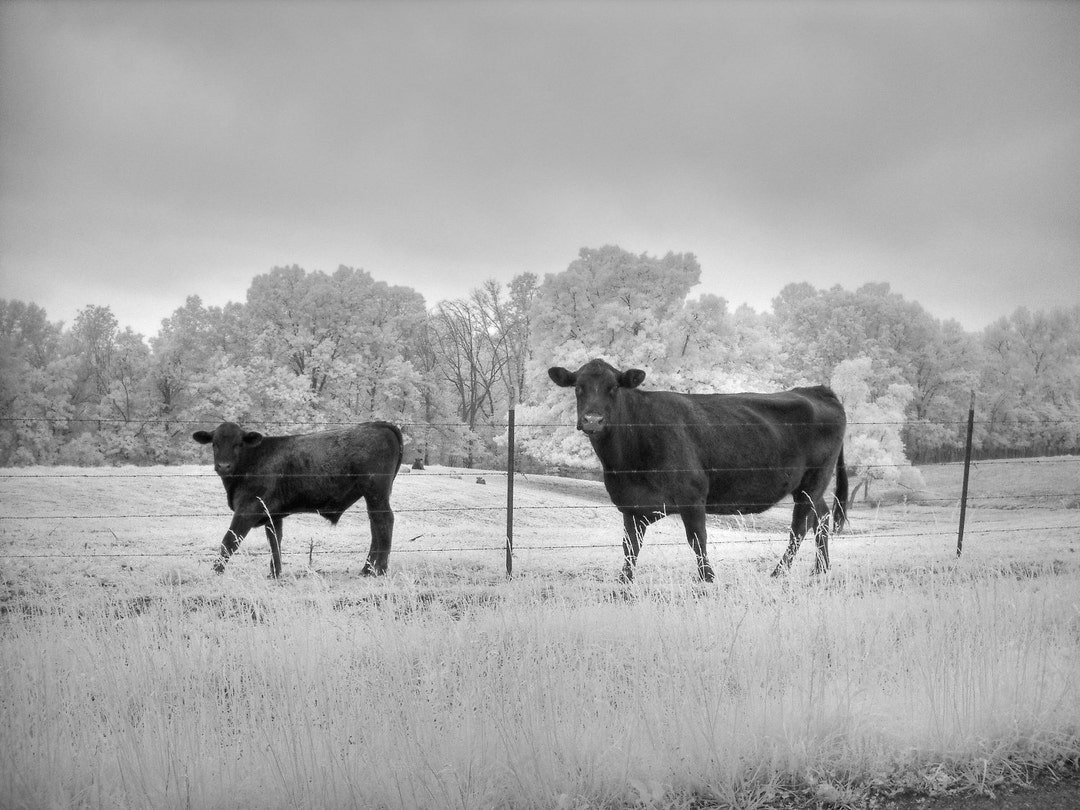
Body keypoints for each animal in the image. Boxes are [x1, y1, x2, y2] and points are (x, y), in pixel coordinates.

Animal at [192, 421, 403, 578]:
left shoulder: (247, 508)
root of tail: (378, 424)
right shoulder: (272, 514)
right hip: (374, 495)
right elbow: (275, 542)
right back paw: (367, 569)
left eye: (238, 444)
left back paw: (379, 570)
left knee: (384, 522)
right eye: (214, 444)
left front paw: (215, 573)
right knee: (375, 525)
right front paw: (275, 574)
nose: (223, 466)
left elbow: (228, 542)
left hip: (376, 491)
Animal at [548, 359, 848, 582]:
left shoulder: (692, 496)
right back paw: (820, 569)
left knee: (799, 527)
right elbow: (629, 546)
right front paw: (624, 582)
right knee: (821, 518)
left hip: (813, 480)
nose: (593, 420)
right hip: (811, 486)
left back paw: (779, 573)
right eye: (578, 387)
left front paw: (708, 579)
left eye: (613, 388)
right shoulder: (631, 505)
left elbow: (697, 540)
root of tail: (817, 390)